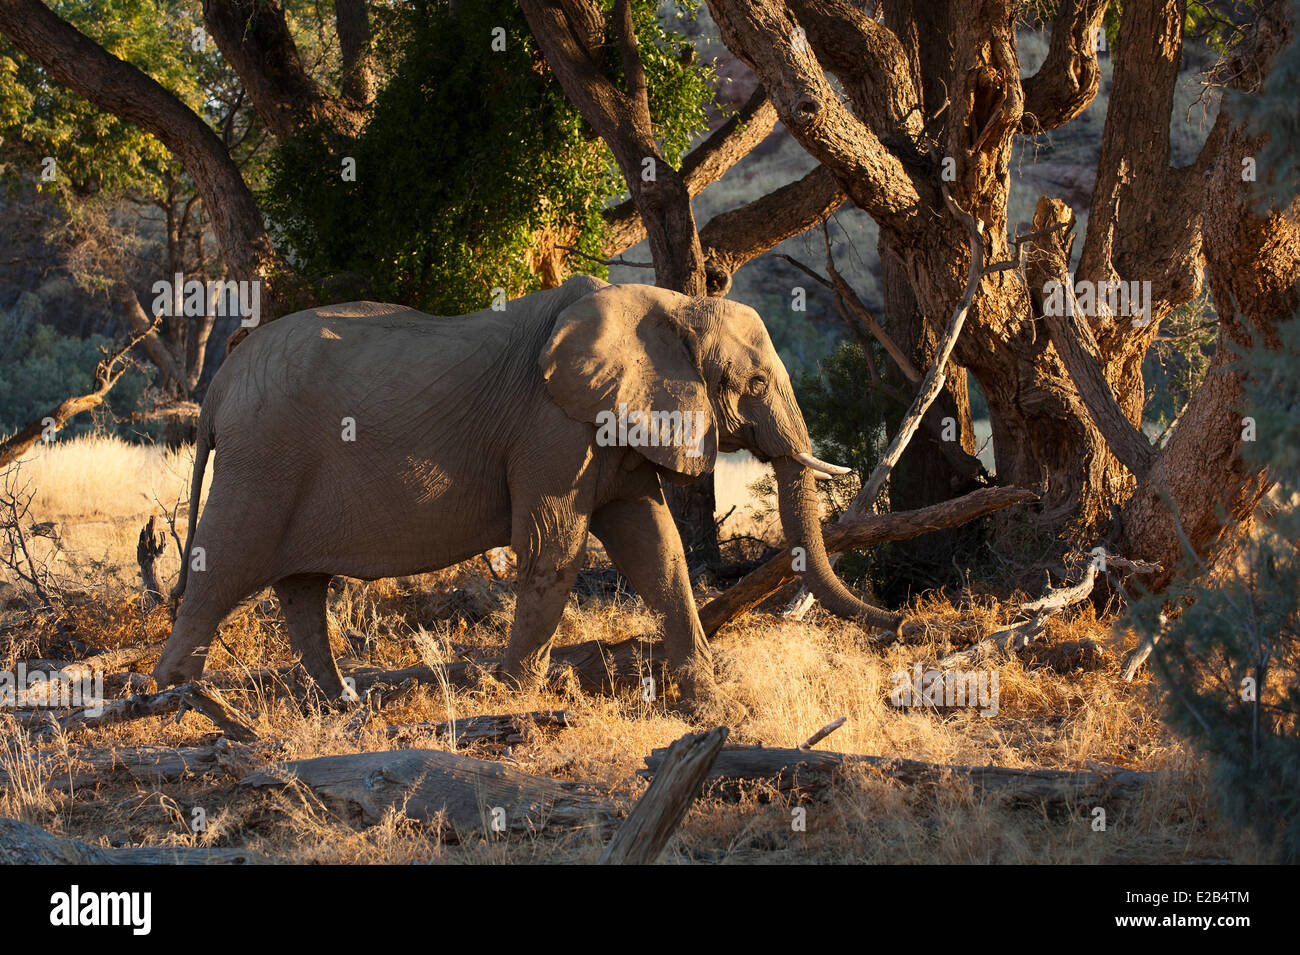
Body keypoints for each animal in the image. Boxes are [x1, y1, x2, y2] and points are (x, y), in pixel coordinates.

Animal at [152, 275, 902, 718]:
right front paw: (506, 696)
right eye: (751, 383)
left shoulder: (610, 420)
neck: (665, 303)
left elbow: (652, 546)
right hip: (261, 461)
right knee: (223, 568)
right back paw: (176, 695)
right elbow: (552, 546)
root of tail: (219, 385)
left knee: (301, 588)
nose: (899, 621)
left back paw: (341, 704)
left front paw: (712, 707)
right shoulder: (552, 425)